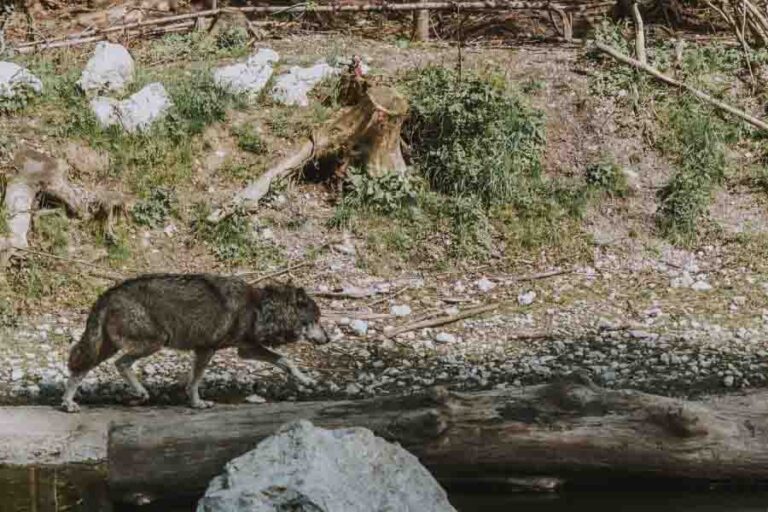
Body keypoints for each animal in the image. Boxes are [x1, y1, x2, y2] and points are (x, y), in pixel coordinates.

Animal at [60, 274, 330, 412]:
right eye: (316, 320)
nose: (327, 339)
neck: (260, 309)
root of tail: (108, 293)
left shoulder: (245, 349)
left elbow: (286, 361)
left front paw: (306, 380)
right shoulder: (207, 349)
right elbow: (195, 381)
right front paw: (198, 403)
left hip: (107, 346)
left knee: (80, 369)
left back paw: (68, 403)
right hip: (154, 342)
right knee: (120, 364)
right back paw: (140, 393)